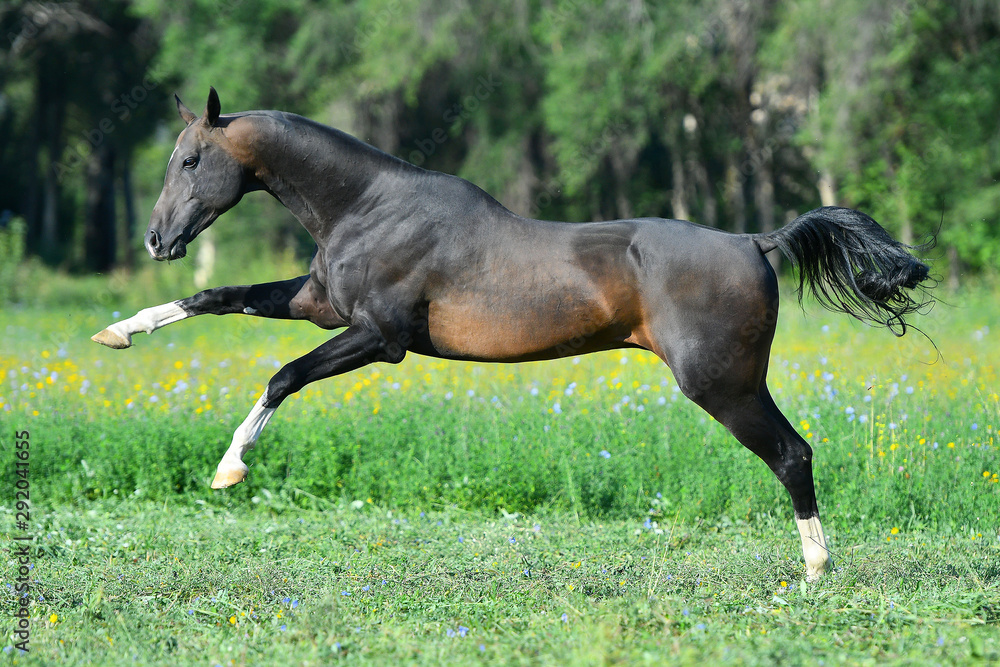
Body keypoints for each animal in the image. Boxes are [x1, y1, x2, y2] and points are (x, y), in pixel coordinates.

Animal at [92, 88, 931, 581]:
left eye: (190, 159)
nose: (157, 238)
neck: (367, 204)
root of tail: (759, 241)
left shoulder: (377, 336)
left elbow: (283, 375)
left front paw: (229, 470)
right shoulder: (319, 304)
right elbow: (216, 295)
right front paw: (117, 332)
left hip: (722, 383)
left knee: (793, 453)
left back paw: (816, 568)